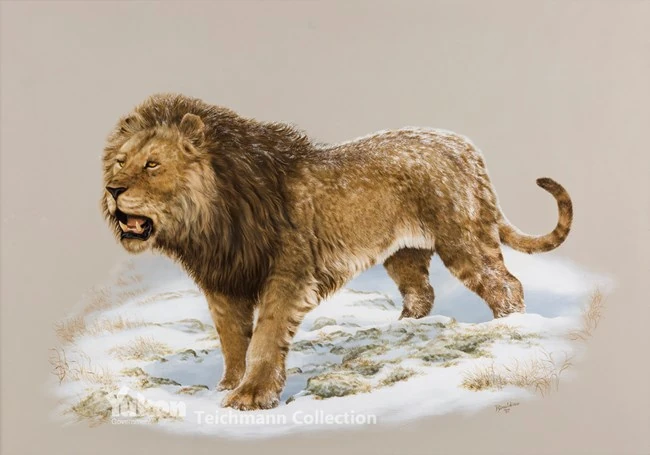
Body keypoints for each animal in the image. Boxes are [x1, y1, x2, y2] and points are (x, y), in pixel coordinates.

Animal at [102, 93, 572, 410]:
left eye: (152, 164)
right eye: (120, 161)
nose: (112, 189)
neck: (210, 219)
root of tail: (466, 148)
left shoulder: (288, 275)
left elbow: (265, 339)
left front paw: (251, 397)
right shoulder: (223, 284)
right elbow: (232, 341)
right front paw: (228, 386)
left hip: (463, 240)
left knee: (505, 284)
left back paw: (508, 329)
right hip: (404, 253)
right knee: (422, 293)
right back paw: (401, 331)